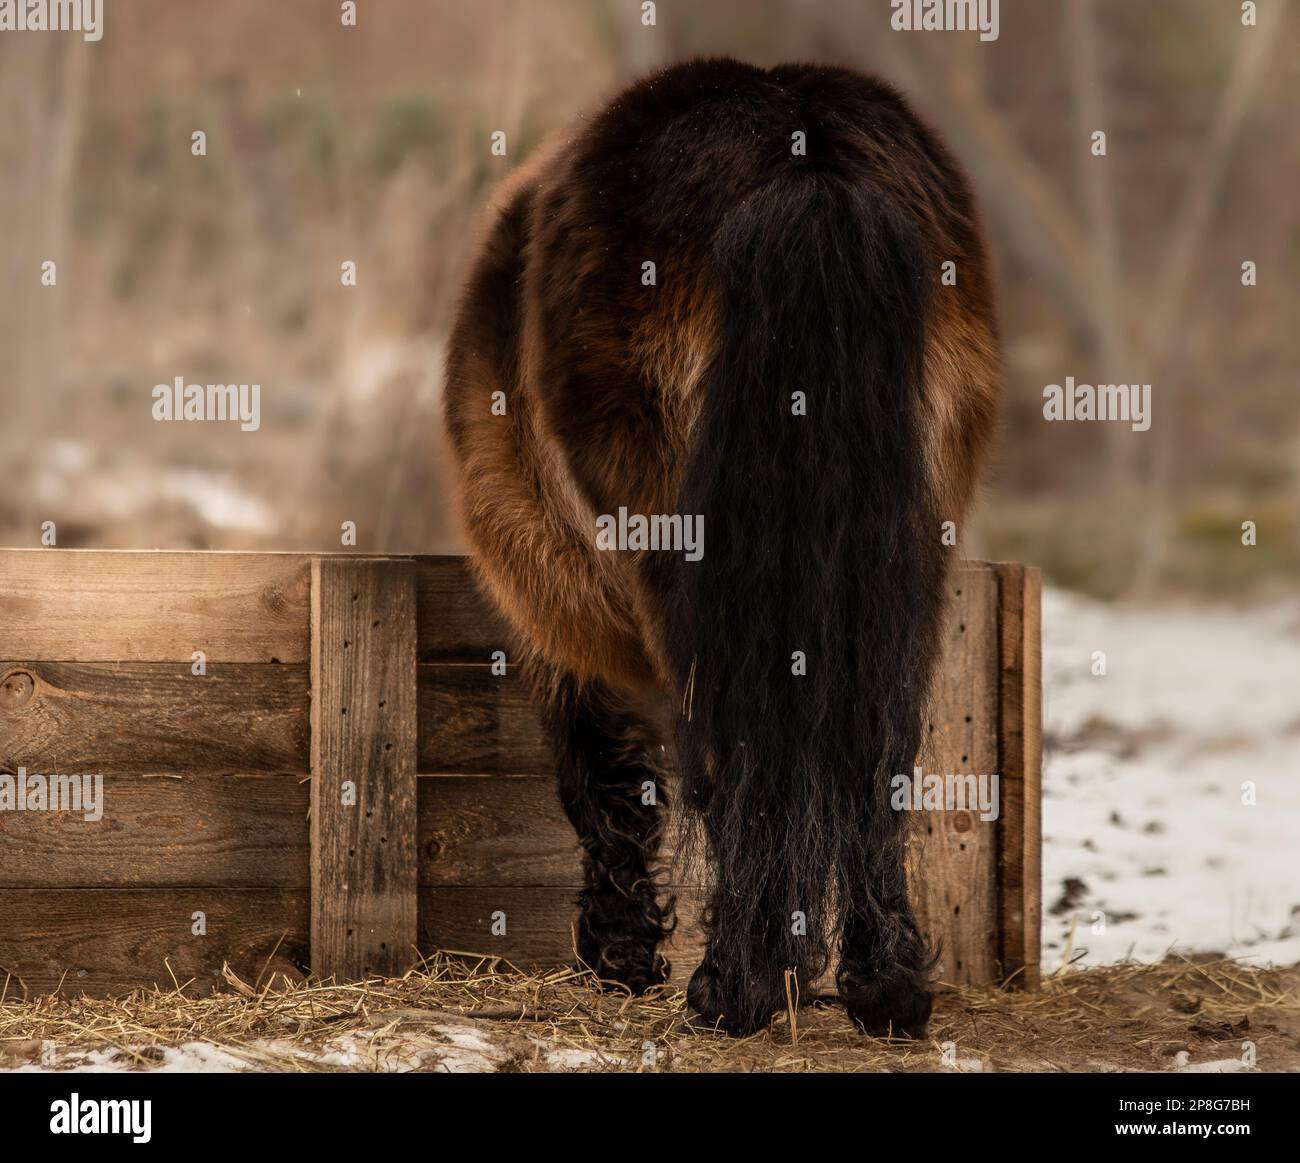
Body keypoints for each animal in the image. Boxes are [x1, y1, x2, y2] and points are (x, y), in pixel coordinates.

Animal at [443, 58, 999, 1037]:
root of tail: (802, 151)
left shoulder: (556, 610)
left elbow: (600, 778)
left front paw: (621, 950)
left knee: (730, 759)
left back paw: (733, 987)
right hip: (905, 563)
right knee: (876, 756)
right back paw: (885, 986)